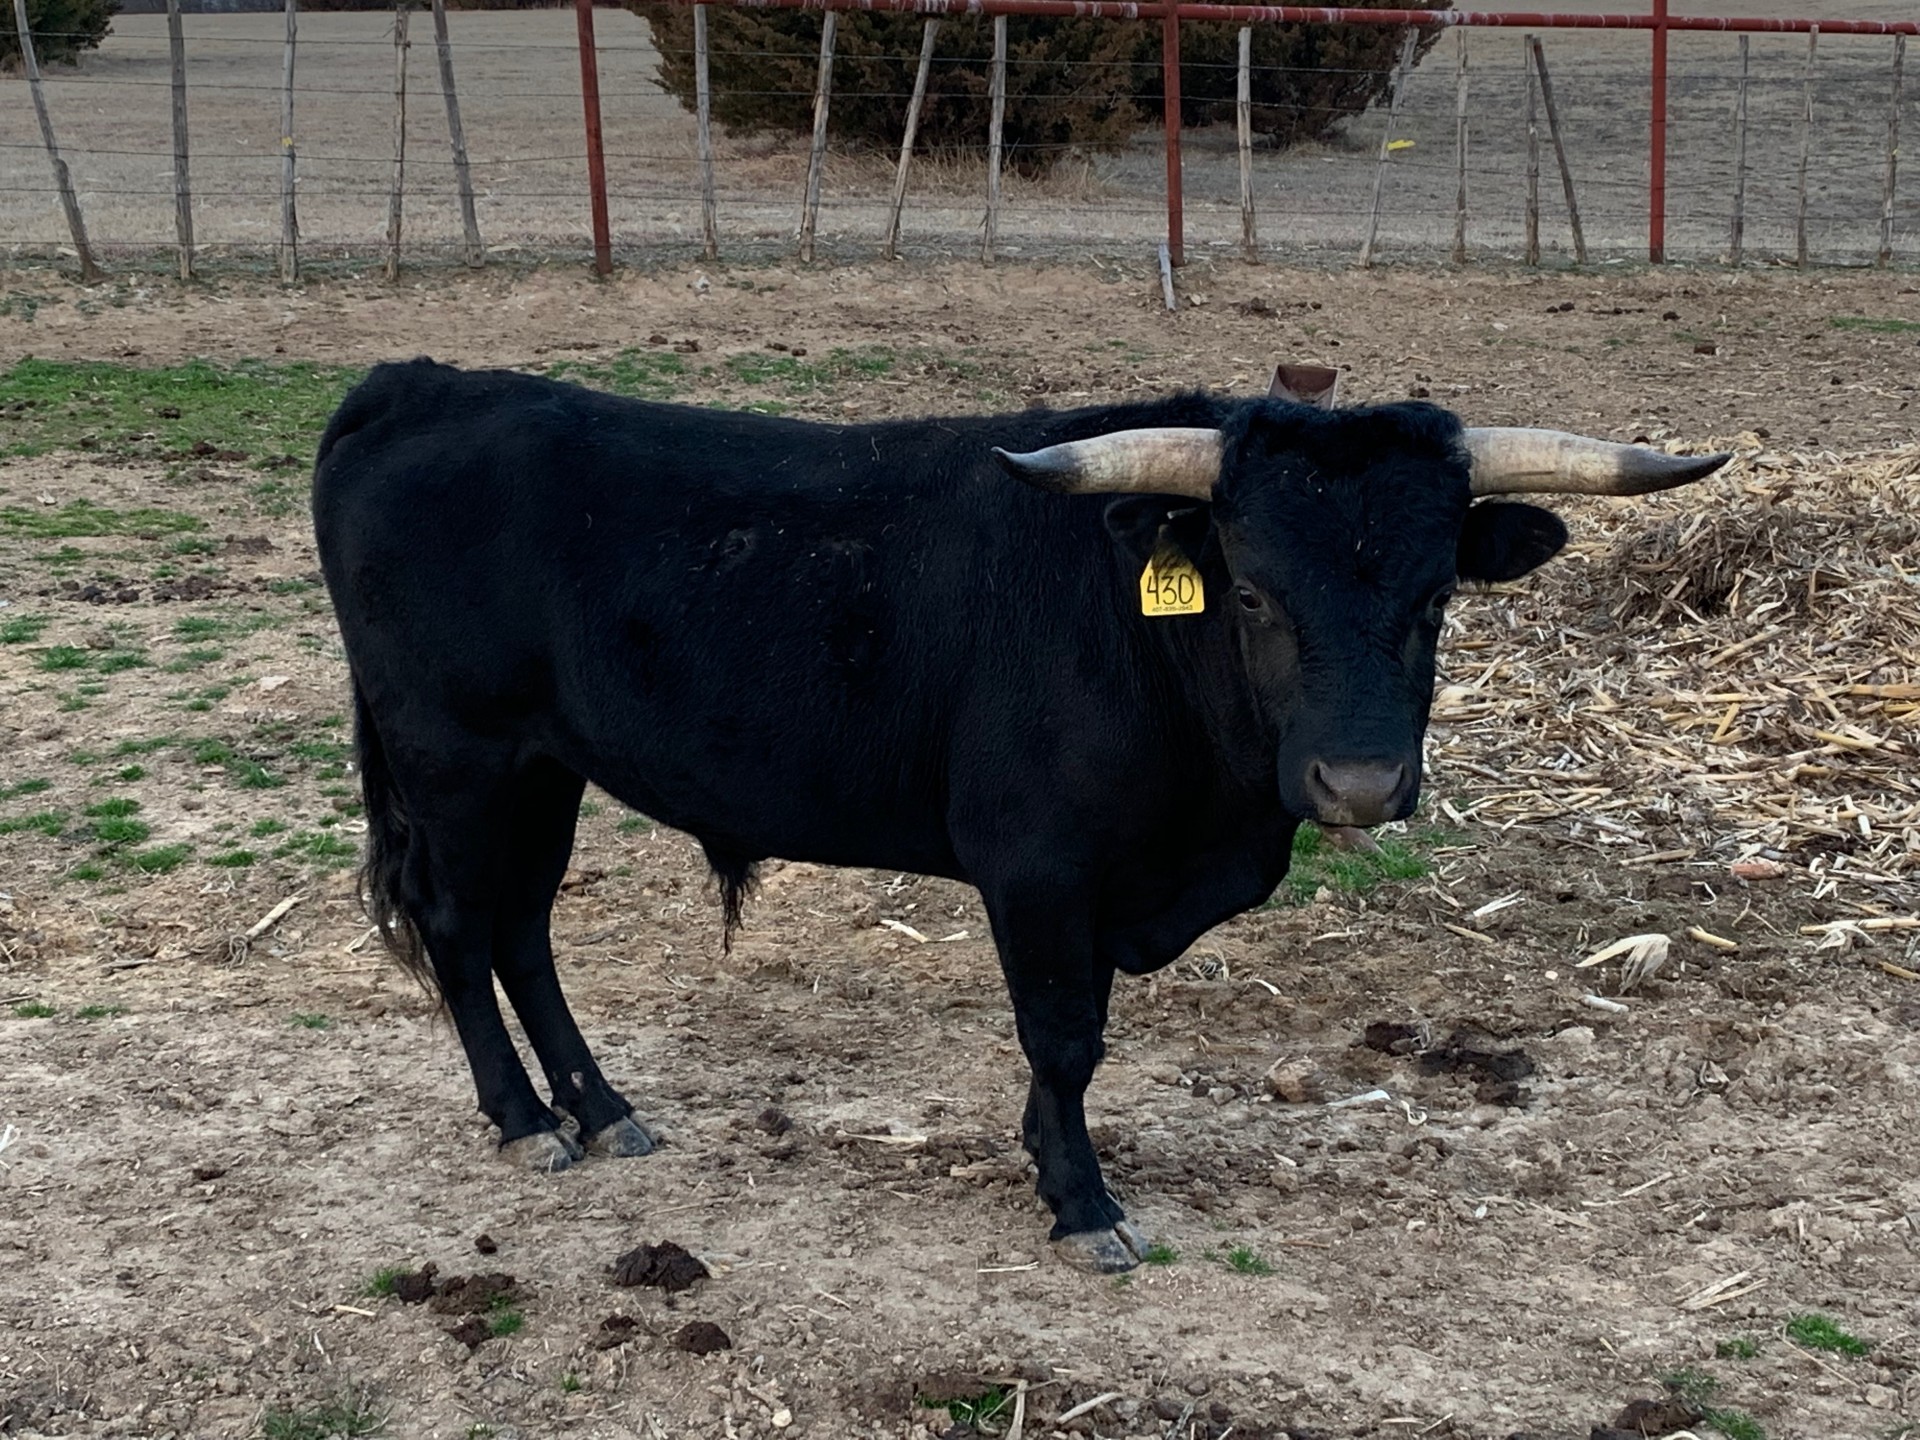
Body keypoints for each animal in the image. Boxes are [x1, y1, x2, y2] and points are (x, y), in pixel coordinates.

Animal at [312, 356, 1728, 1271]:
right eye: (1252, 591)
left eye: (1438, 598)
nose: (1360, 786)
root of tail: (422, 383)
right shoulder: (1039, 872)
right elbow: (1065, 1037)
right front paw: (1081, 1201)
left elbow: (1074, 1041)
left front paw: (1054, 1161)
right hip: (455, 758)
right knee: (459, 923)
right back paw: (526, 1123)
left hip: (541, 768)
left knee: (523, 930)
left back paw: (602, 1108)